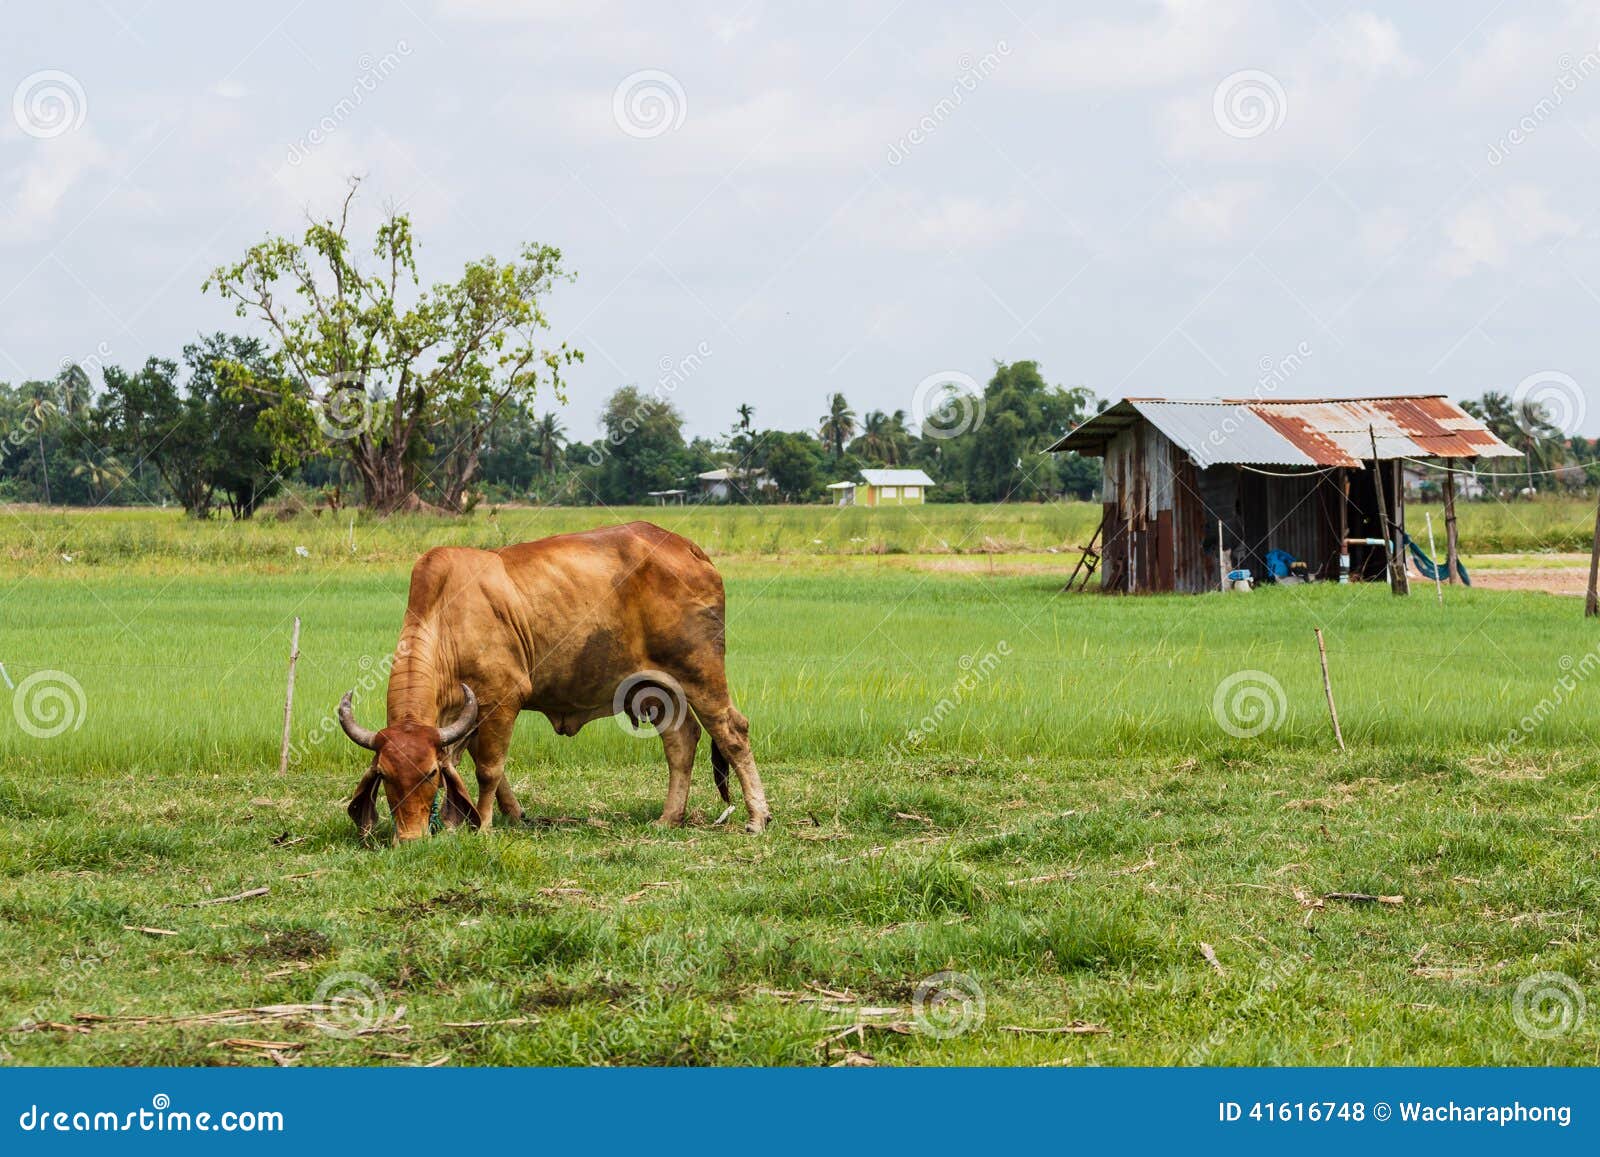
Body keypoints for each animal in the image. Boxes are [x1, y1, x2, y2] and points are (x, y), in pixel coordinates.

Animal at [335, 522, 771, 843]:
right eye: (385, 776)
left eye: (428, 775)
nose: (409, 838)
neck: (446, 618)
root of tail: (689, 547)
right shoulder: (463, 716)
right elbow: (473, 764)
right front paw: (495, 815)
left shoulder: (502, 700)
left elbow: (489, 769)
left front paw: (484, 824)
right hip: (656, 689)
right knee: (681, 741)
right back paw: (669, 818)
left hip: (700, 673)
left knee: (732, 731)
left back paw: (757, 817)